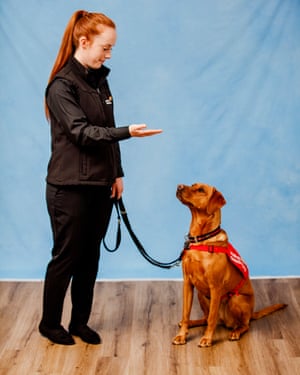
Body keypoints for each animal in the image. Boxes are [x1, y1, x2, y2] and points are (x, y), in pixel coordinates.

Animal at [172, 184, 288, 348]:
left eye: (200, 190)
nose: (179, 186)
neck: (201, 239)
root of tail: (251, 313)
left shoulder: (215, 287)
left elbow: (212, 318)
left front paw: (207, 339)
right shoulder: (187, 283)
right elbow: (185, 313)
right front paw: (182, 335)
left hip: (235, 300)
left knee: (243, 324)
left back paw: (236, 332)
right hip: (201, 295)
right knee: (205, 318)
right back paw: (194, 322)